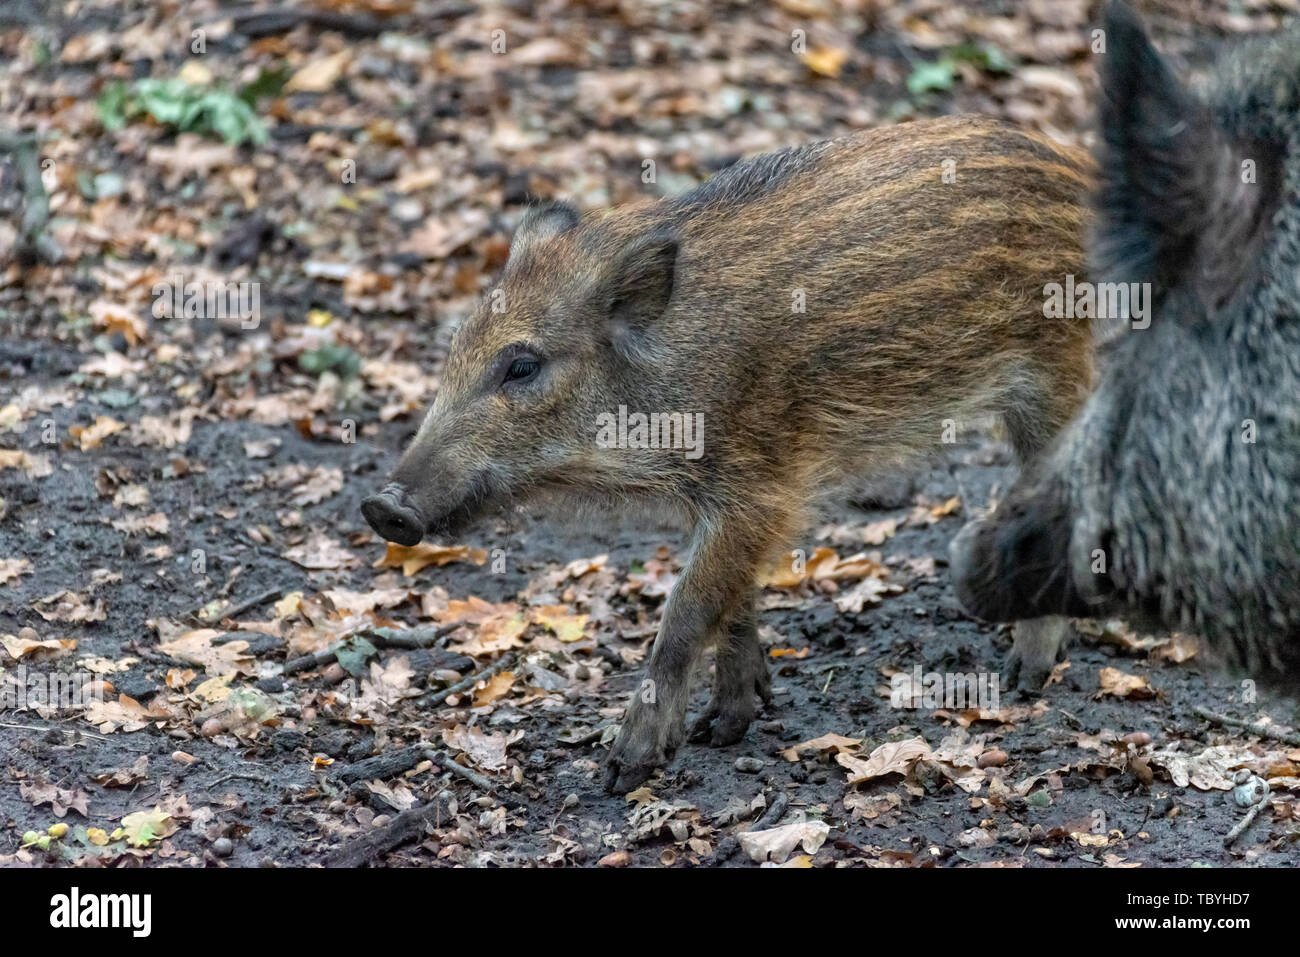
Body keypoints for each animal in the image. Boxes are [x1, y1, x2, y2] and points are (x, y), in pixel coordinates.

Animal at [362, 113, 1096, 791]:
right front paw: (726, 725)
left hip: (1059, 379)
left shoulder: (761, 486)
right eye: (457, 349)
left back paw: (1024, 675)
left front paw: (624, 768)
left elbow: (684, 613)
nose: (382, 505)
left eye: (521, 365)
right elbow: (733, 600)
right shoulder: (722, 496)